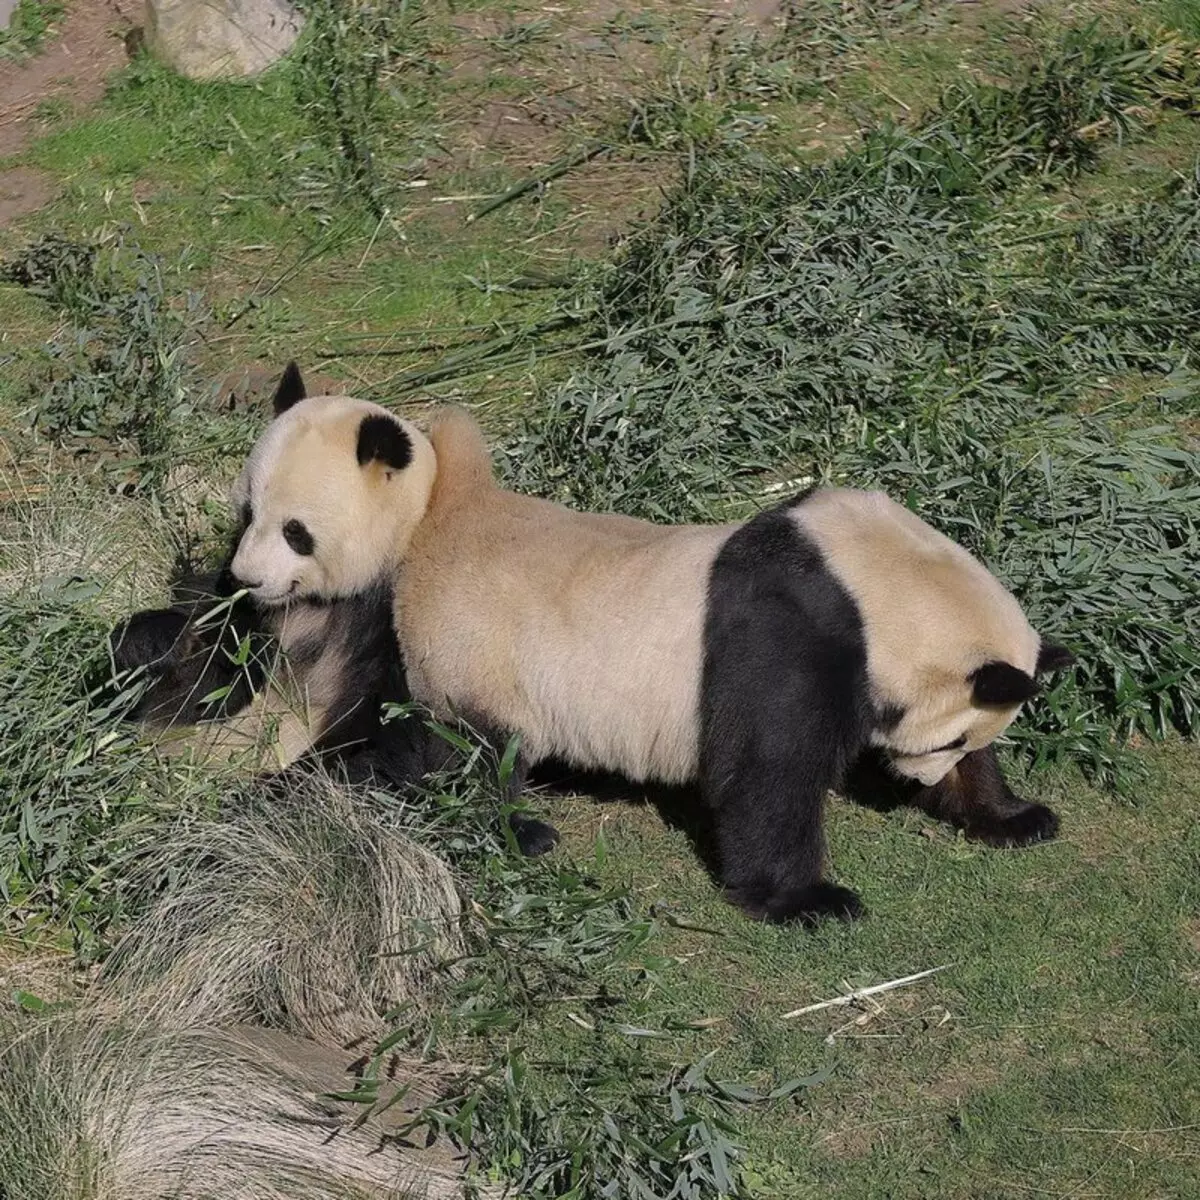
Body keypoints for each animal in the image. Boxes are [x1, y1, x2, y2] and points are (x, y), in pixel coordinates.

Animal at [97, 360, 556, 859]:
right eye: (247, 513)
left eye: (295, 531)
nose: (247, 578)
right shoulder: (250, 619)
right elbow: (210, 683)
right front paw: (160, 643)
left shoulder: (406, 619)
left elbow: (407, 742)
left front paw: (275, 796)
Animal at [225, 369, 1080, 921]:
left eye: (962, 741)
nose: (915, 777)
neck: (880, 584)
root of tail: (451, 509)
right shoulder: (790, 636)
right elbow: (764, 772)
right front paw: (812, 899)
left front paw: (1015, 817)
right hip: (475, 651)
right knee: (468, 755)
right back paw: (516, 830)